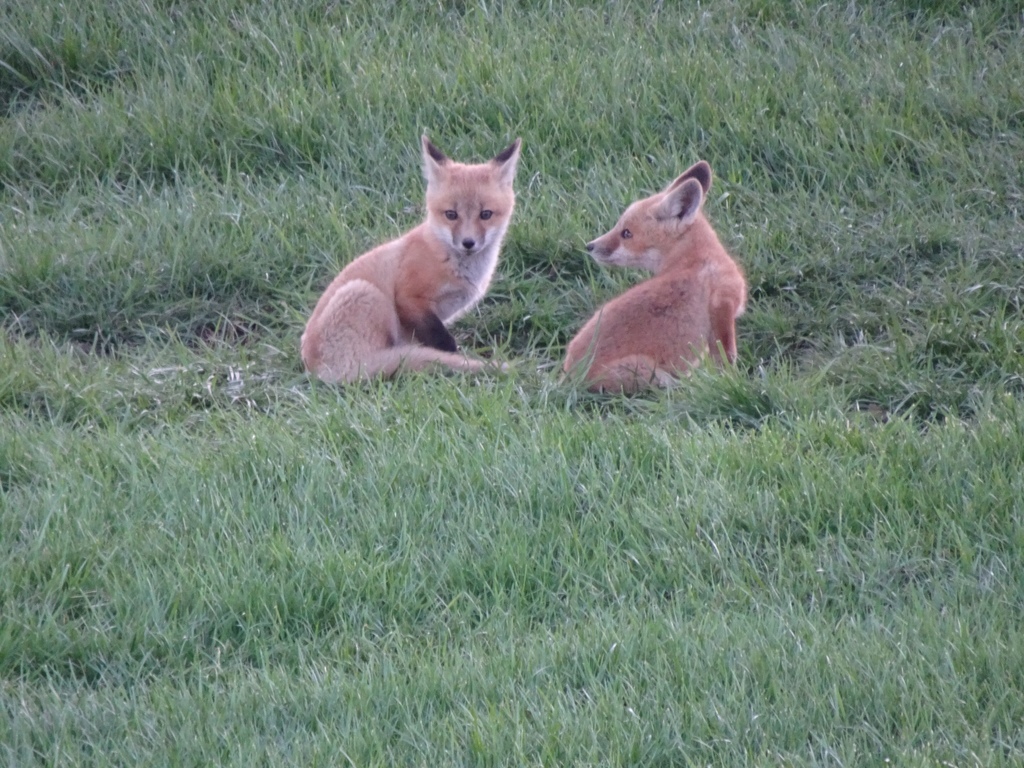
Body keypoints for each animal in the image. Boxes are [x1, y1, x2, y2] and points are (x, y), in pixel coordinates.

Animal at [301, 135, 521, 383]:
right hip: (366, 293)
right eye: (451, 214)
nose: (468, 243)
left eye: (485, 214)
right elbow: (442, 342)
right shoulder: (410, 299)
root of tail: (316, 370)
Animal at [563, 160, 747, 393]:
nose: (590, 246)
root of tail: (567, 377)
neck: (694, 258)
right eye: (620, 228)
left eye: (626, 233)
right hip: (650, 374)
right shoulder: (723, 305)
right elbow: (726, 358)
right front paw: (730, 380)